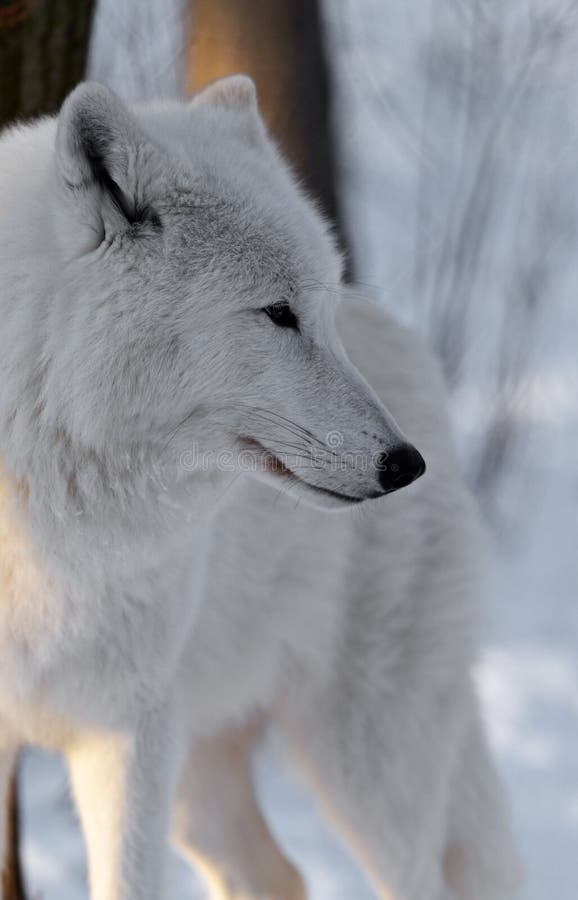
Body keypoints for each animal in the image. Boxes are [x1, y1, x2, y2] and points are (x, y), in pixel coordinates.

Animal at [0, 77, 520, 900]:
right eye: (279, 313)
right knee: (281, 875)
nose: (404, 465)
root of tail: (419, 359)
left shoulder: (127, 733)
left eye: (320, 311)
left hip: (366, 756)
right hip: (201, 778)